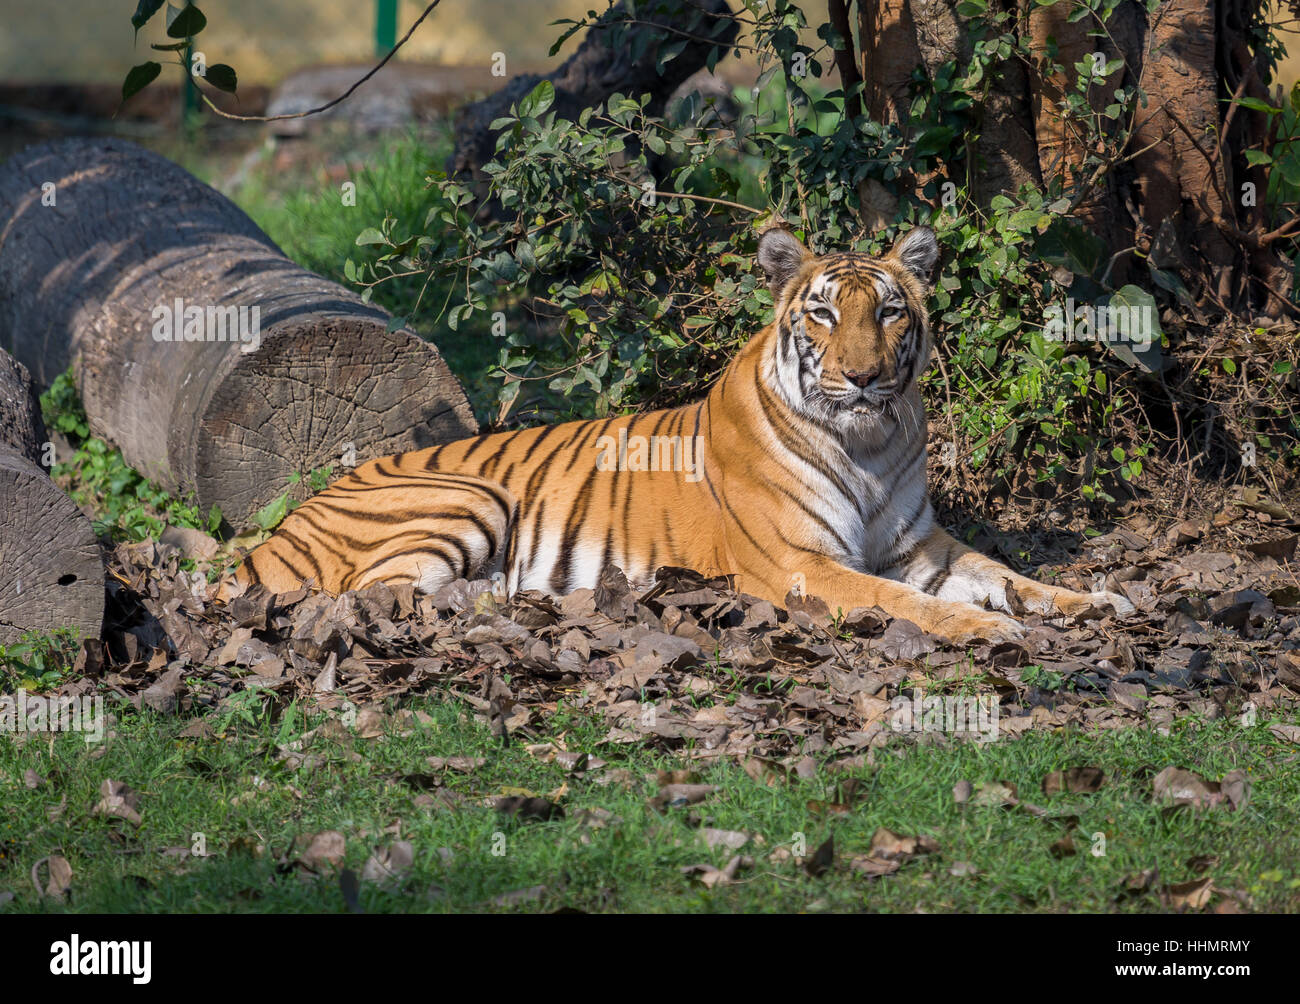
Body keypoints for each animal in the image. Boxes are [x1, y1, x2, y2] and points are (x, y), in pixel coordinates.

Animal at [227, 225, 1134, 643]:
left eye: (889, 312)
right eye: (823, 314)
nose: (865, 377)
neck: (871, 444)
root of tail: (277, 528)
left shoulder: (925, 547)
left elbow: (1009, 575)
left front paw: (1097, 601)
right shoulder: (800, 565)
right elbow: (901, 601)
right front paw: (989, 630)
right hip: (465, 496)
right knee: (377, 594)